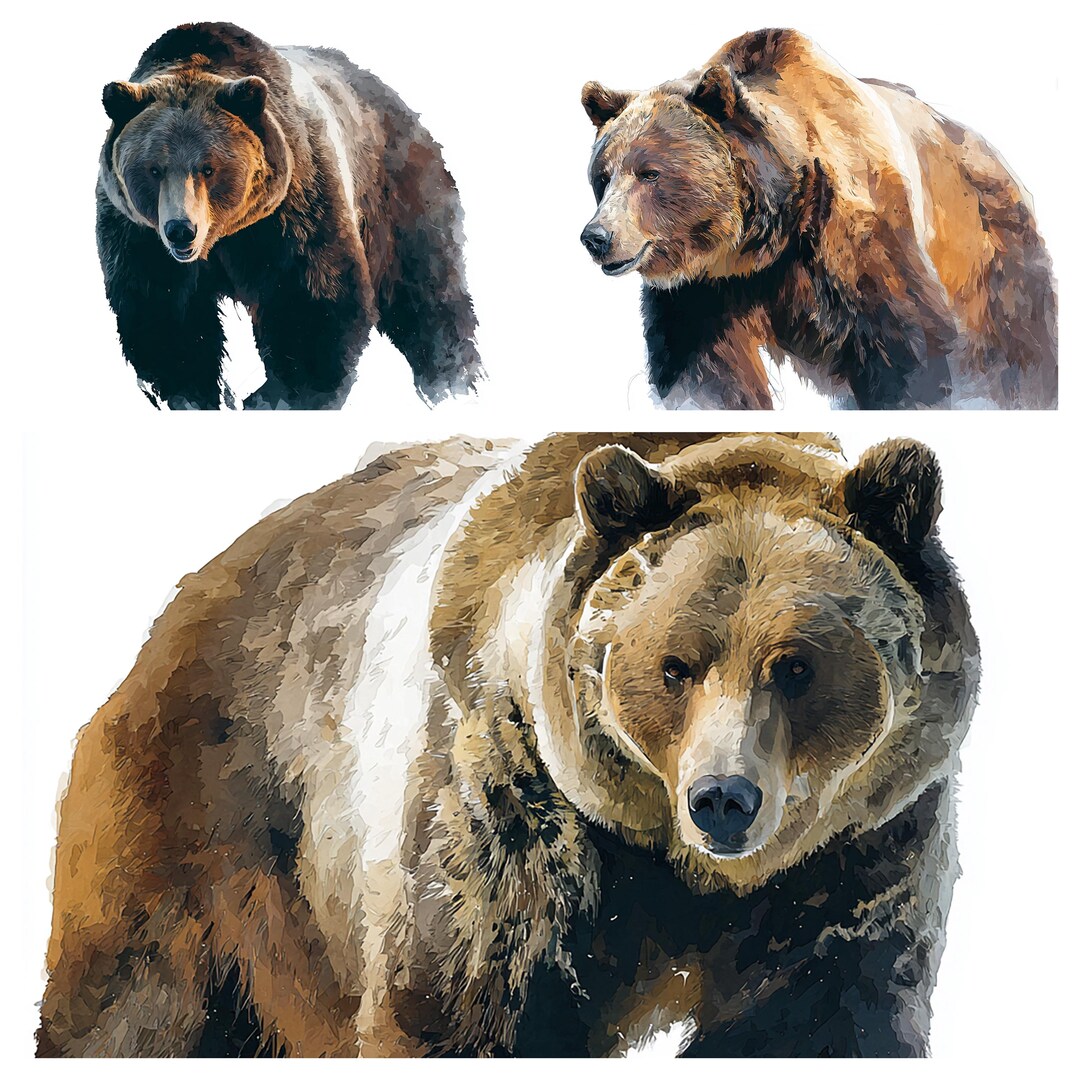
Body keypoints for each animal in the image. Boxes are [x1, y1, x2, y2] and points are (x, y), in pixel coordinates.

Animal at [36, 431, 979, 1057]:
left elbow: (822, 1014)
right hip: (212, 830)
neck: (682, 878)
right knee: (134, 1005)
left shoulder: (858, 855)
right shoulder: (509, 803)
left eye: (796, 666)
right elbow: (460, 1003)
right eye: (675, 665)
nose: (723, 799)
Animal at [98, 22, 482, 409]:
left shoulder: (293, 204)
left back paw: (451, 376)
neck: (223, 236)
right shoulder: (139, 235)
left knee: (428, 295)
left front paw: (278, 395)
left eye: (208, 168)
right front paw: (195, 394)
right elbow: (163, 318)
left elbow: (311, 299)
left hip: (396, 194)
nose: (181, 230)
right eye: (154, 169)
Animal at [580, 28, 1057, 410]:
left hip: (992, 260)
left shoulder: (855, 238)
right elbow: (703, 376)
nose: (596, 236)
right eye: (602, 176)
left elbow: (907, 347)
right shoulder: (703, 293)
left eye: (649, 173)